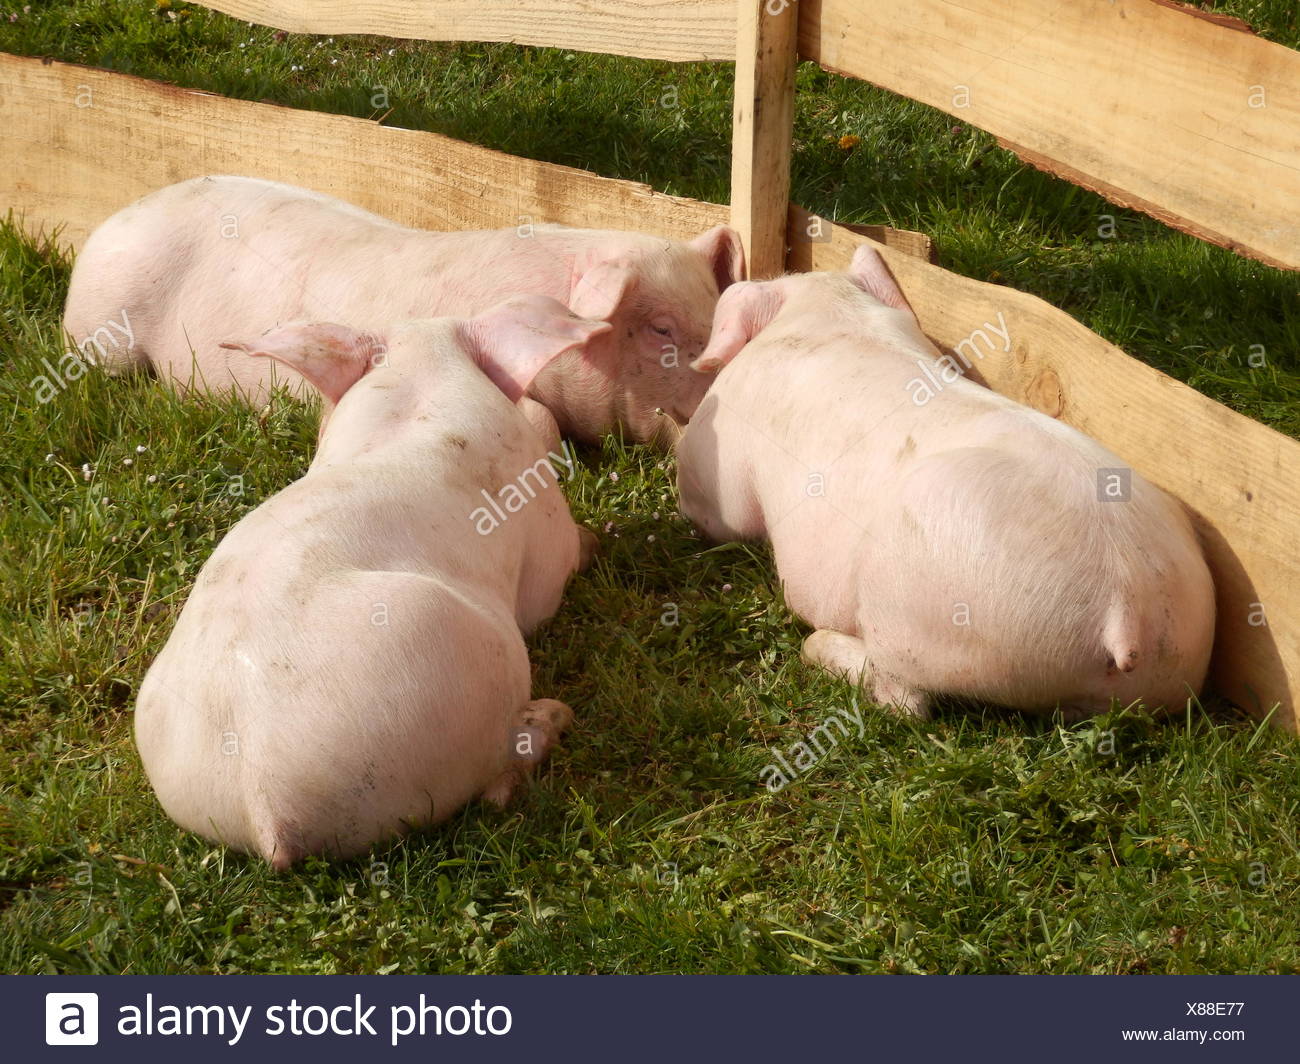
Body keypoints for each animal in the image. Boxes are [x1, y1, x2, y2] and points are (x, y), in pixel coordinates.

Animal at [134, 295, 609, 867]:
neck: (417, 388)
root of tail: (266, 812)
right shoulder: (539, 525)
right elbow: (553, 577)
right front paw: (594, 540)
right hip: (466, 672)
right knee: (498, 770)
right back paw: (554, 716)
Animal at [676, 245, 1215, 720]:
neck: (832, 312)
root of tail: (1127, 609)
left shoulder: (721, 468)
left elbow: (722, 515)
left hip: (914, 613)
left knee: (905, 700)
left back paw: (819, 647)